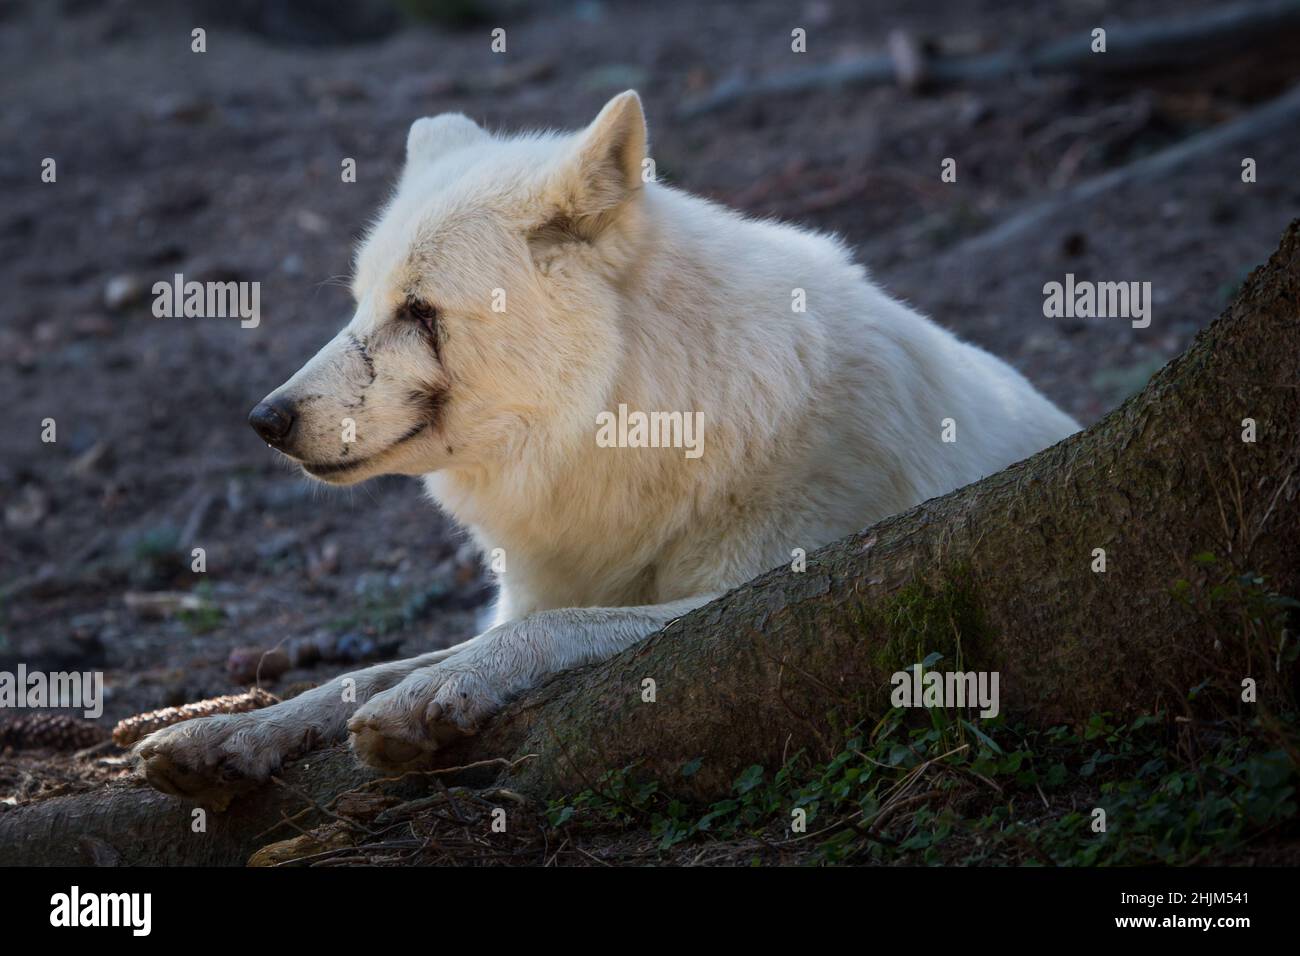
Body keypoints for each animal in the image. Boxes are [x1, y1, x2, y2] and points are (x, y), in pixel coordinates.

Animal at [137, 91, 1079, 807]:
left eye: (419, 311)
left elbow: (554, 627)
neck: (648, 426)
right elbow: (362, 672)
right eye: (362, 305)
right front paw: (228, 732)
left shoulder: (766, 588)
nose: (265, 418)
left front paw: (433, 699)